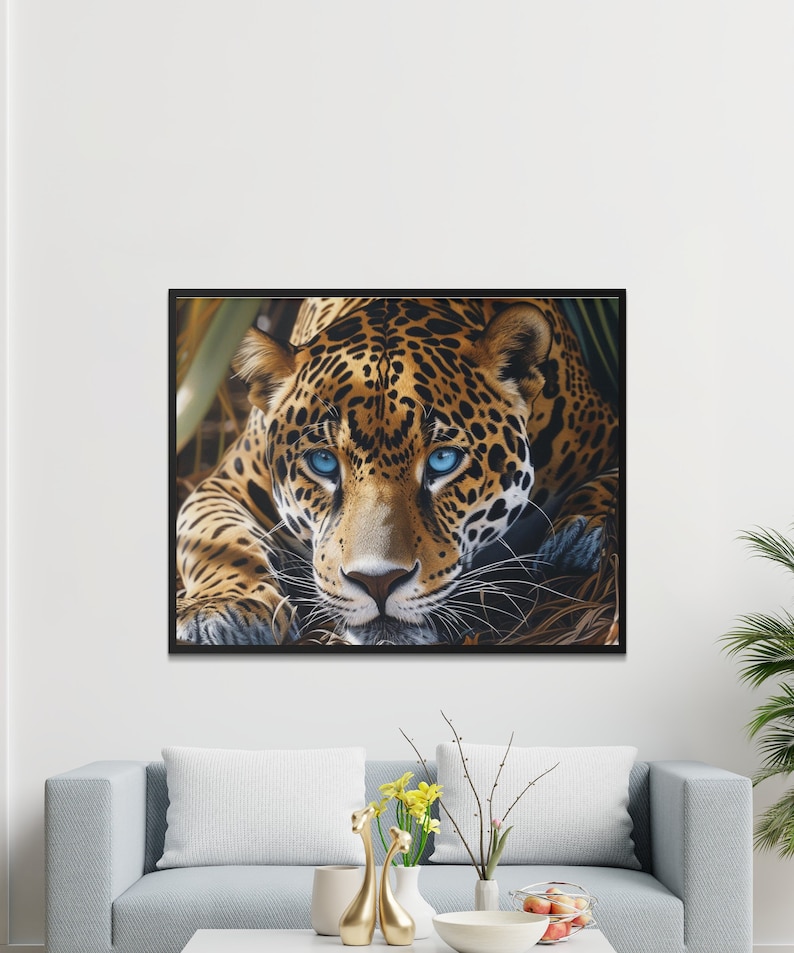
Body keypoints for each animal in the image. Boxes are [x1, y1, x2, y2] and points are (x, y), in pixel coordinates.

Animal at [175, 297, 619, 647]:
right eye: (323, 462)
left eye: (443, 460)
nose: (377, 582)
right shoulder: (225, 483)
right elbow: (217, 539)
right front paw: (221, 610)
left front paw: (579, 532)